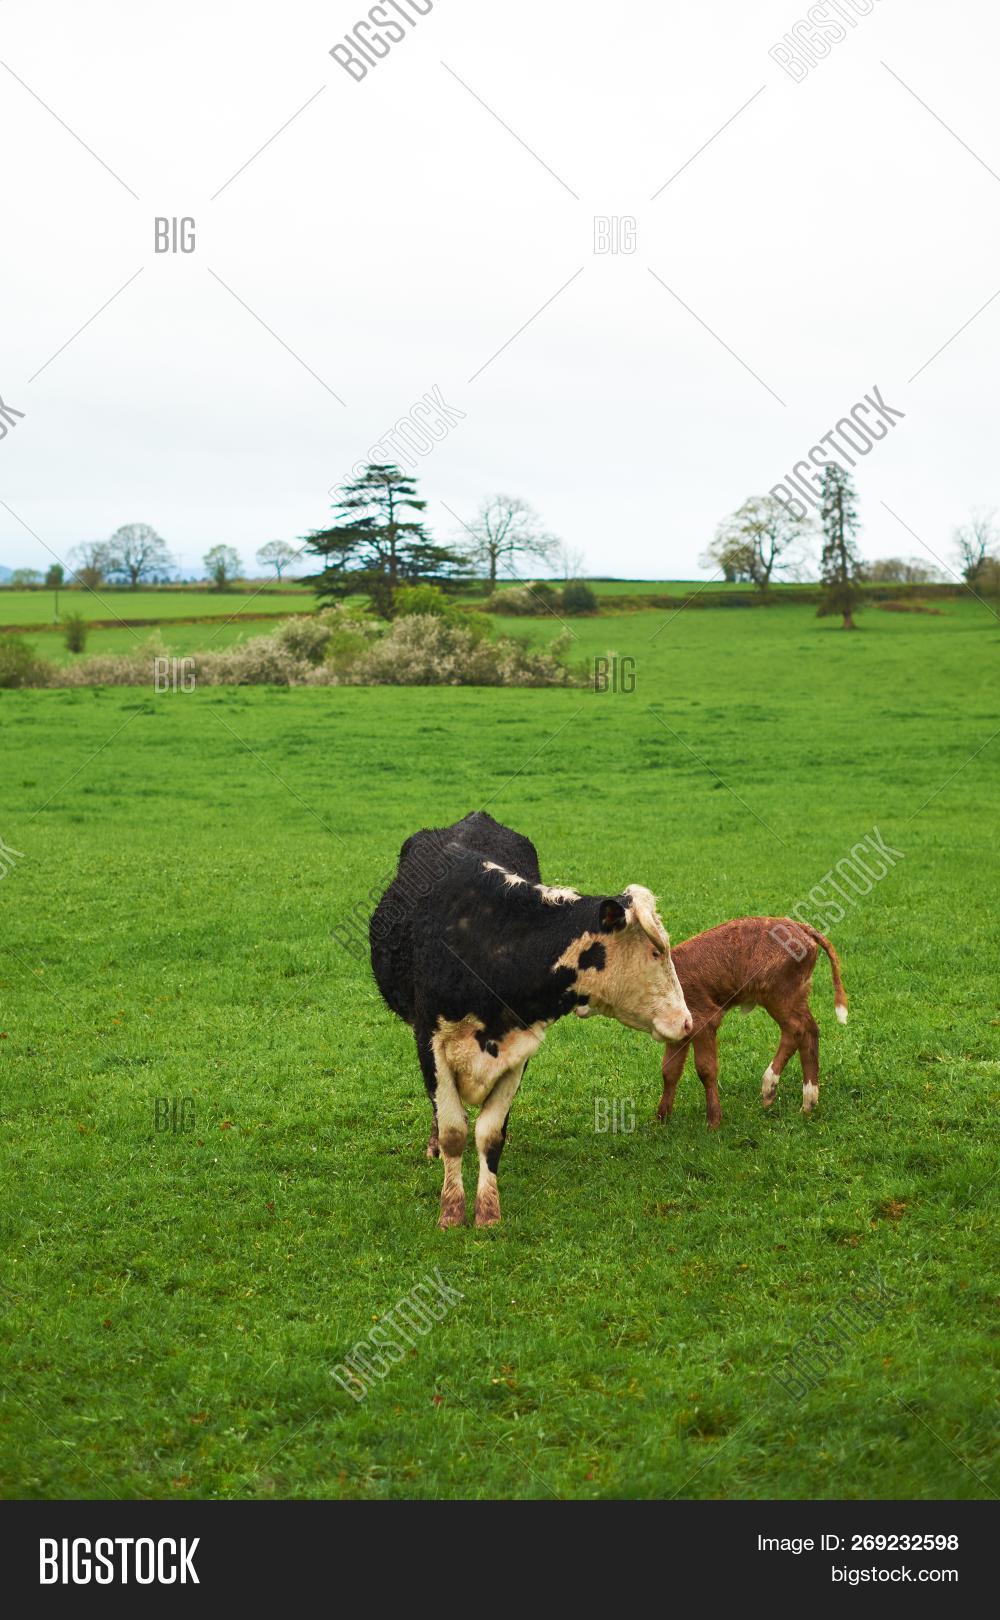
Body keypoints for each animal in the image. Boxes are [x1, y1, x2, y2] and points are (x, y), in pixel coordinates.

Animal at [370, 811, 692, 1228]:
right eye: (655, 952)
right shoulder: (431, 1040)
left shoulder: (518, 1050)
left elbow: (490, 1134)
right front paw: (451, 1213)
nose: (686, 1021)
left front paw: (488, 1214)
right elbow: (454, 1130)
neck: (494, 940)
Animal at [655, 917, 848, 1128]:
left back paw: (777, 1091)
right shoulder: (677, 1034)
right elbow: (669, 1071)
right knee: (807, 1030)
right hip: (796, 993)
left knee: (798, 1030)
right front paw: (661, 1120)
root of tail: (802, 927)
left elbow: (705, 1069)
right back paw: (801, 1102)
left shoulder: (703, 1017)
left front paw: (713, 1122)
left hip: (779, 992)